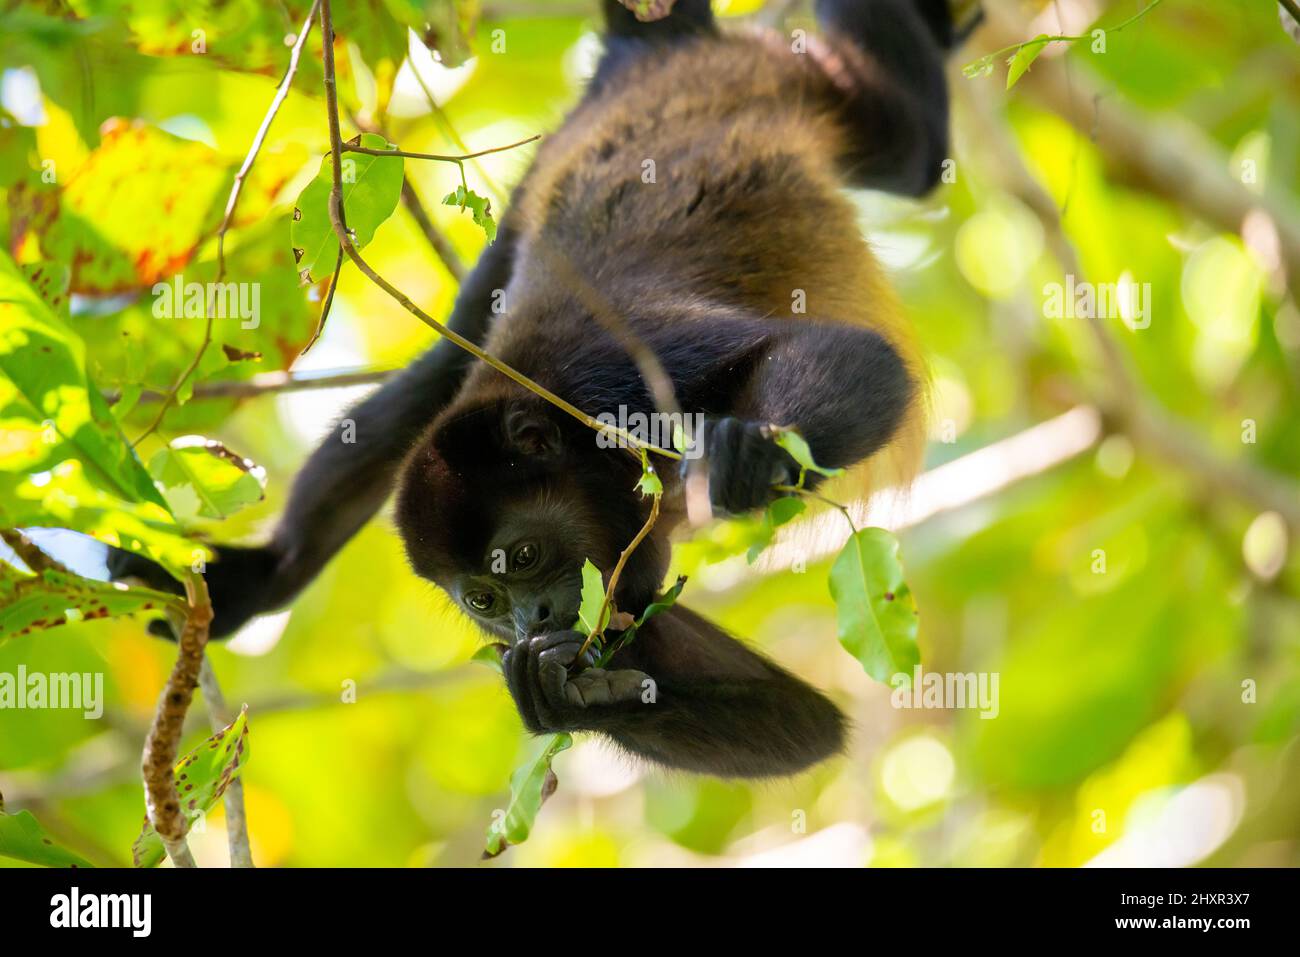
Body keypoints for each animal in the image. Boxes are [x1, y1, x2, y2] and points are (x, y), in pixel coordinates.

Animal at [111, 0, 965, 778]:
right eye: (481, 601)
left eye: (522, 555)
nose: (530, 618)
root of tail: (652, 58)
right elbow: (810, 723)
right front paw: (562, 697)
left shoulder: (619, 373)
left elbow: (853, 355)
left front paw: (751, 457)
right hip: (533, 189)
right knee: (434, 373)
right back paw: (269, 571)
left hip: (803, 86)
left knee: (913, 149)